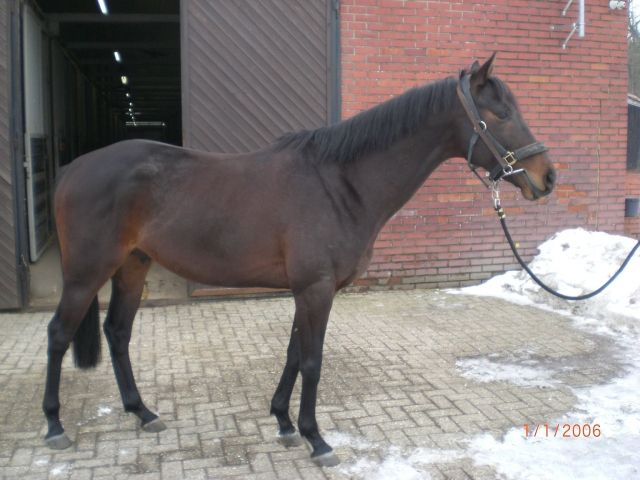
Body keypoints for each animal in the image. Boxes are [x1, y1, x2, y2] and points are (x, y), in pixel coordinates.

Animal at [42, 54, 555, 466]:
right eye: (500, 113)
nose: (546, 177)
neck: (340, 184)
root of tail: (73, 168)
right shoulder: (316, 288)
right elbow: (312, 360)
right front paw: (317, 439)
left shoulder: (304, 289)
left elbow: (292, 353)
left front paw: (285, 423)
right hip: (87, 273)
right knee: (58, 335)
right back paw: (54, 427)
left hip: (132, 265)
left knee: (117, 332)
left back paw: (143, 413)